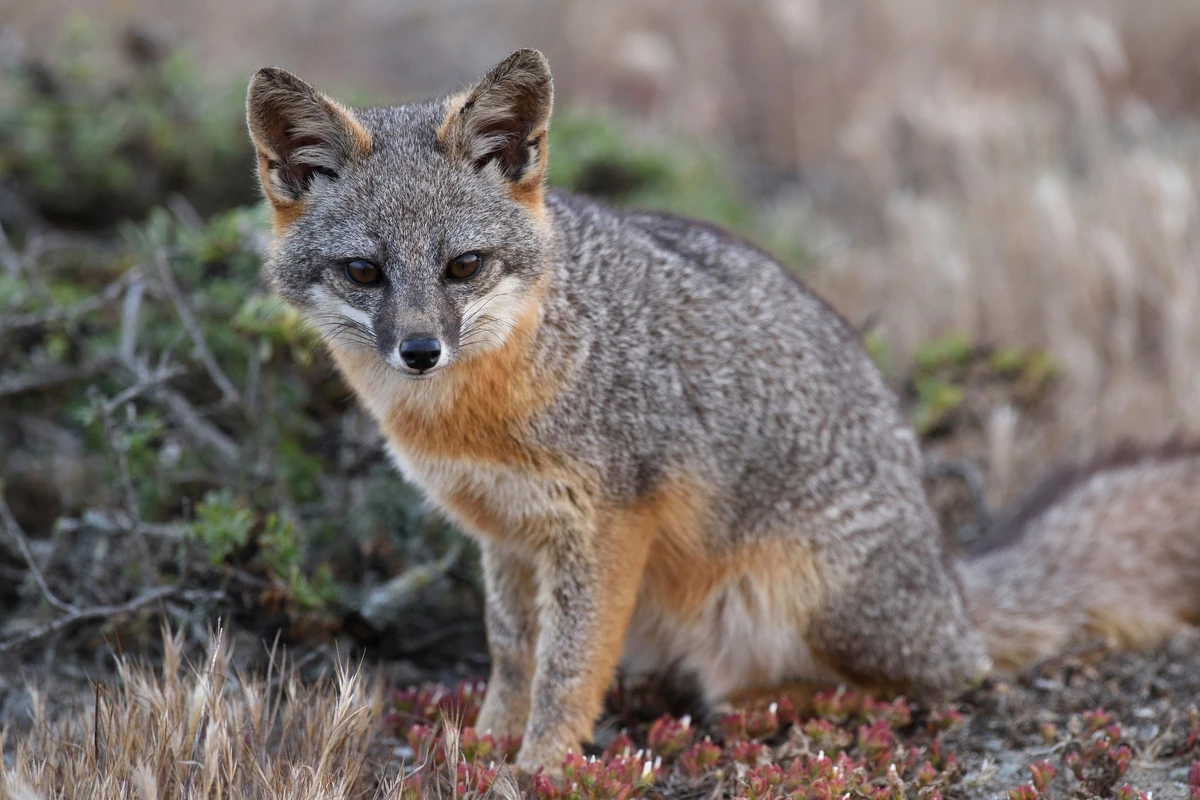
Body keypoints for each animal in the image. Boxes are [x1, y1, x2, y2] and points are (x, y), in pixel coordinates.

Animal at [245, 49, 1200, 773]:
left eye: (464, 267)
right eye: (364, 272)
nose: (419, 350)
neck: (477, 410)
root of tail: (952, 582)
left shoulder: (605, 526)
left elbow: (567, 668)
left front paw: (540, 768)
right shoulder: (505, 534)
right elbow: (513, 655)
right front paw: (483, 748)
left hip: (810, 598)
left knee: (945, 676)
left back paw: (786, 699)